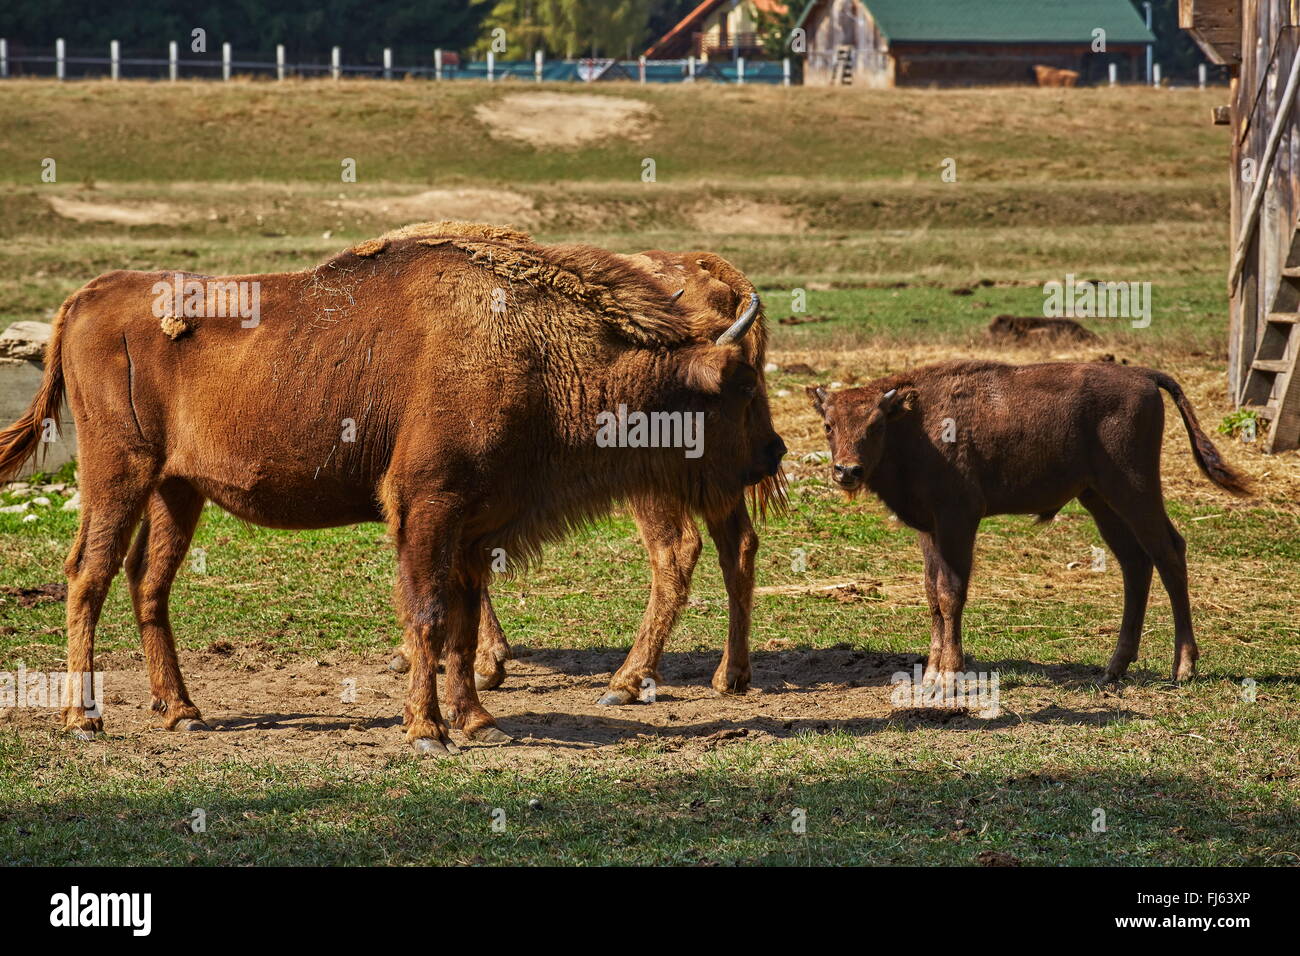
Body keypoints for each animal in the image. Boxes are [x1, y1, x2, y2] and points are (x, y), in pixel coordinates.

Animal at [0, 221, 787, 754]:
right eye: (743, 388)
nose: (774, 450)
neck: (533, 344)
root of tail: (87, 297)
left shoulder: (474, 527)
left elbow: (462, 626)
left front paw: (479, 722)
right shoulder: (426, 509)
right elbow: (430, 616)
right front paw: (426, 730)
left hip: (177, 491)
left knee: (148, 582)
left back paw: (183, 711)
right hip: (119, 474)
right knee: (89, 574)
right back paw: (84, 718)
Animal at [807, 361, 1249, 687]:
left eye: (876, 425)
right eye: (828, 425)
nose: (847, 470)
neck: (915, 421)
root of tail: (1144, 376)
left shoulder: (958, 520)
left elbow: (951, 593)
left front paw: (949, 673)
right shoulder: (928, 529)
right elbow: (932, 595)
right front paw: (930, 672)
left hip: (1134, 489)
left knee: (1169, 553)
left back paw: (1184, 667)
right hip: (1100, 499)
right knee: (1135, 563)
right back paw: (1114, 668)